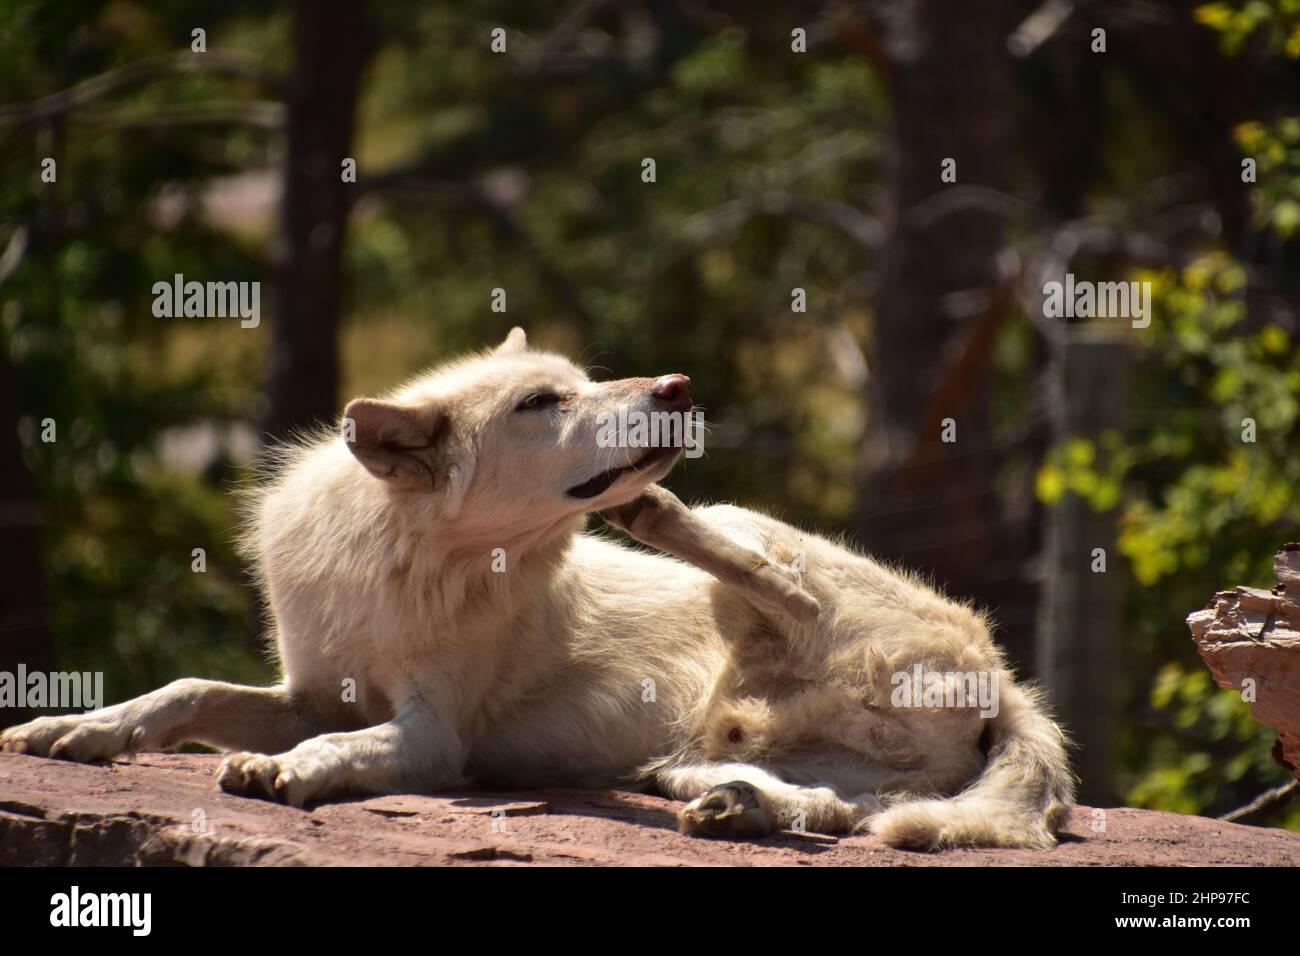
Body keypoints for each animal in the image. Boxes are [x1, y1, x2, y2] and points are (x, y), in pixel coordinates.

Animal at [0, 328, 1074, 849]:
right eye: (542, 401)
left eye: (586, 382)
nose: (678, 388)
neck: (404, 564)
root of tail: (1011, 681)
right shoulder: (310, 688)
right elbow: (187, 691)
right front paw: (76, 731)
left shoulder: (433, 736)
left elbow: (335, 747)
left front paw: (287, 771)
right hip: (754, 759)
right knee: (835, 813)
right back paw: (734, 808)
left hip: (751, 537)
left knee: (783, 585)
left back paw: (660, 519)